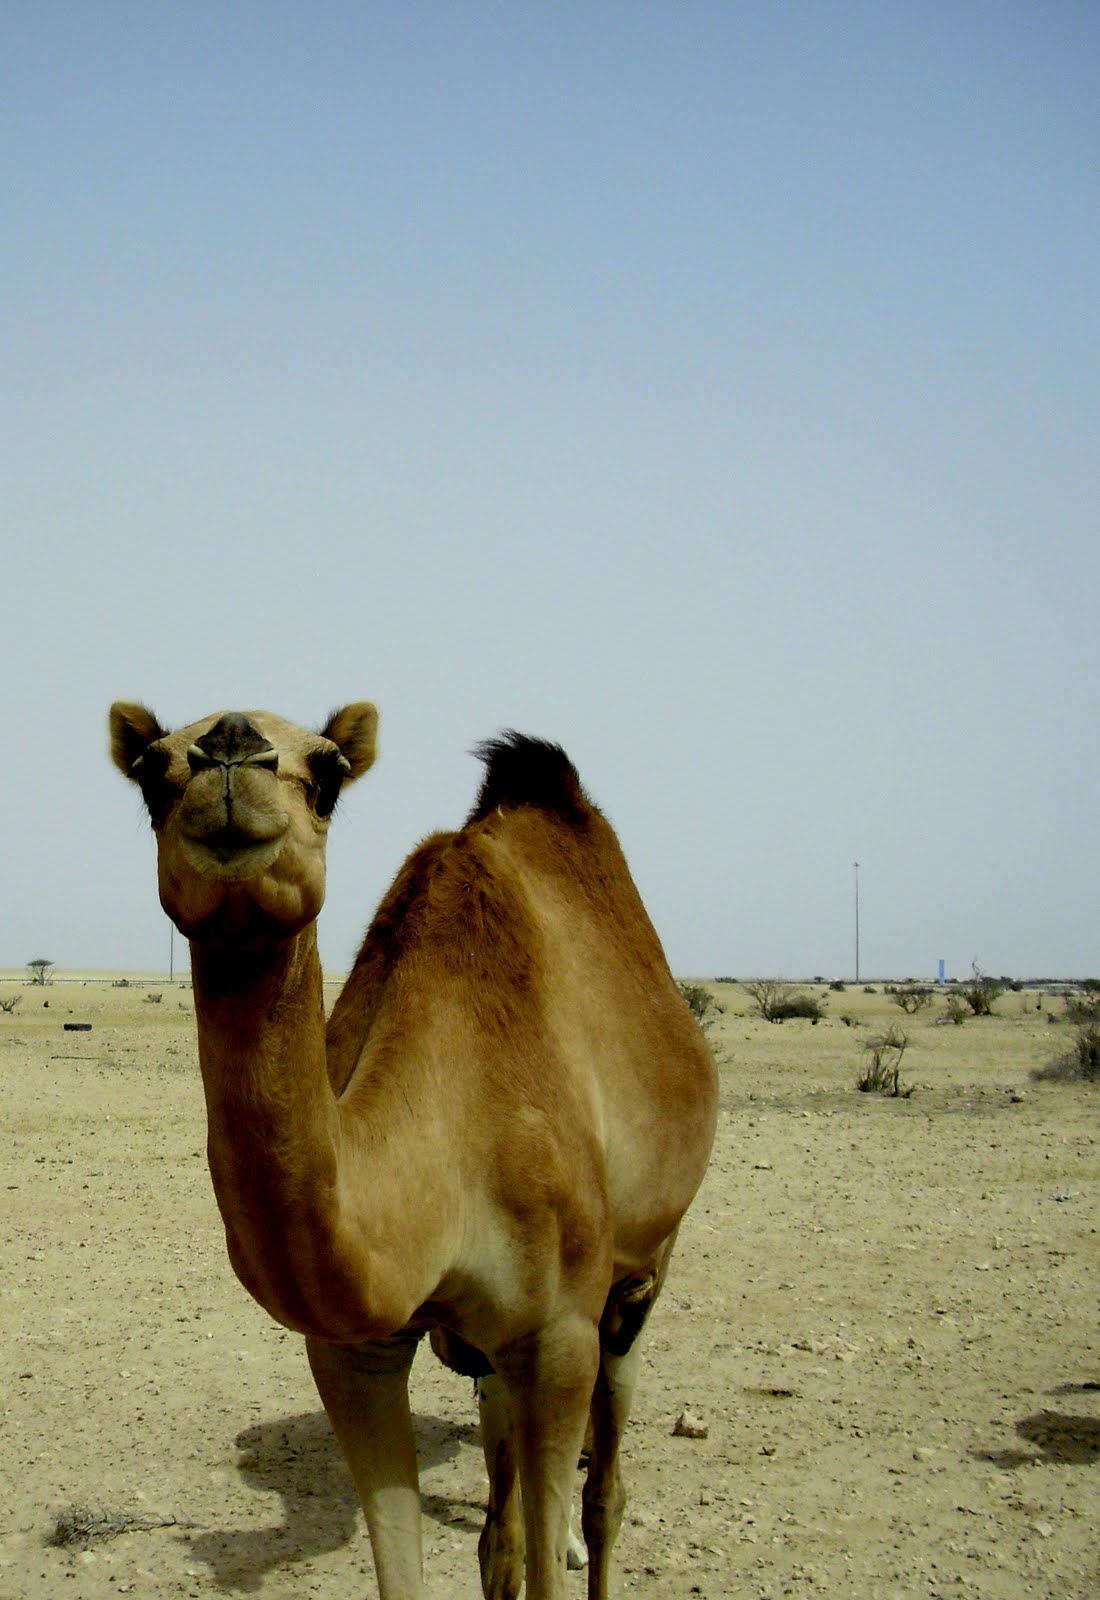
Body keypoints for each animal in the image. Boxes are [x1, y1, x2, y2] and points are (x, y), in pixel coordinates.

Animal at [109, 699, 718, 1600]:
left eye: (327, 773)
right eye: (152, 772)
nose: (229, 747)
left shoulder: (560, 1336)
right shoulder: (355, 1350)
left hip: (640, 1277)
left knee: (605, 1486)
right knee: (505, 1513)